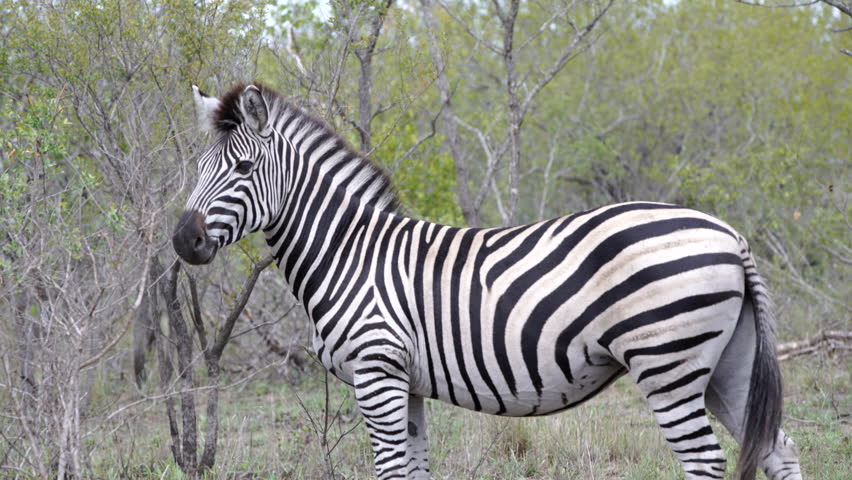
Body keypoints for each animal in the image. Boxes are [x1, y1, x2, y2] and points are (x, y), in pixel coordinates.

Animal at [172, 83, 802, 480]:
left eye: (243, 169)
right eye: (198, 169)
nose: (183, 241)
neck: (350, 253)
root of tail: (730, 234)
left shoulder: (376, 373)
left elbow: (388, 470)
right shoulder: (406, 382)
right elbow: (412, 473)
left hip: (667, 362)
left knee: (705, 461)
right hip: (726, 363)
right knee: (780, 451)